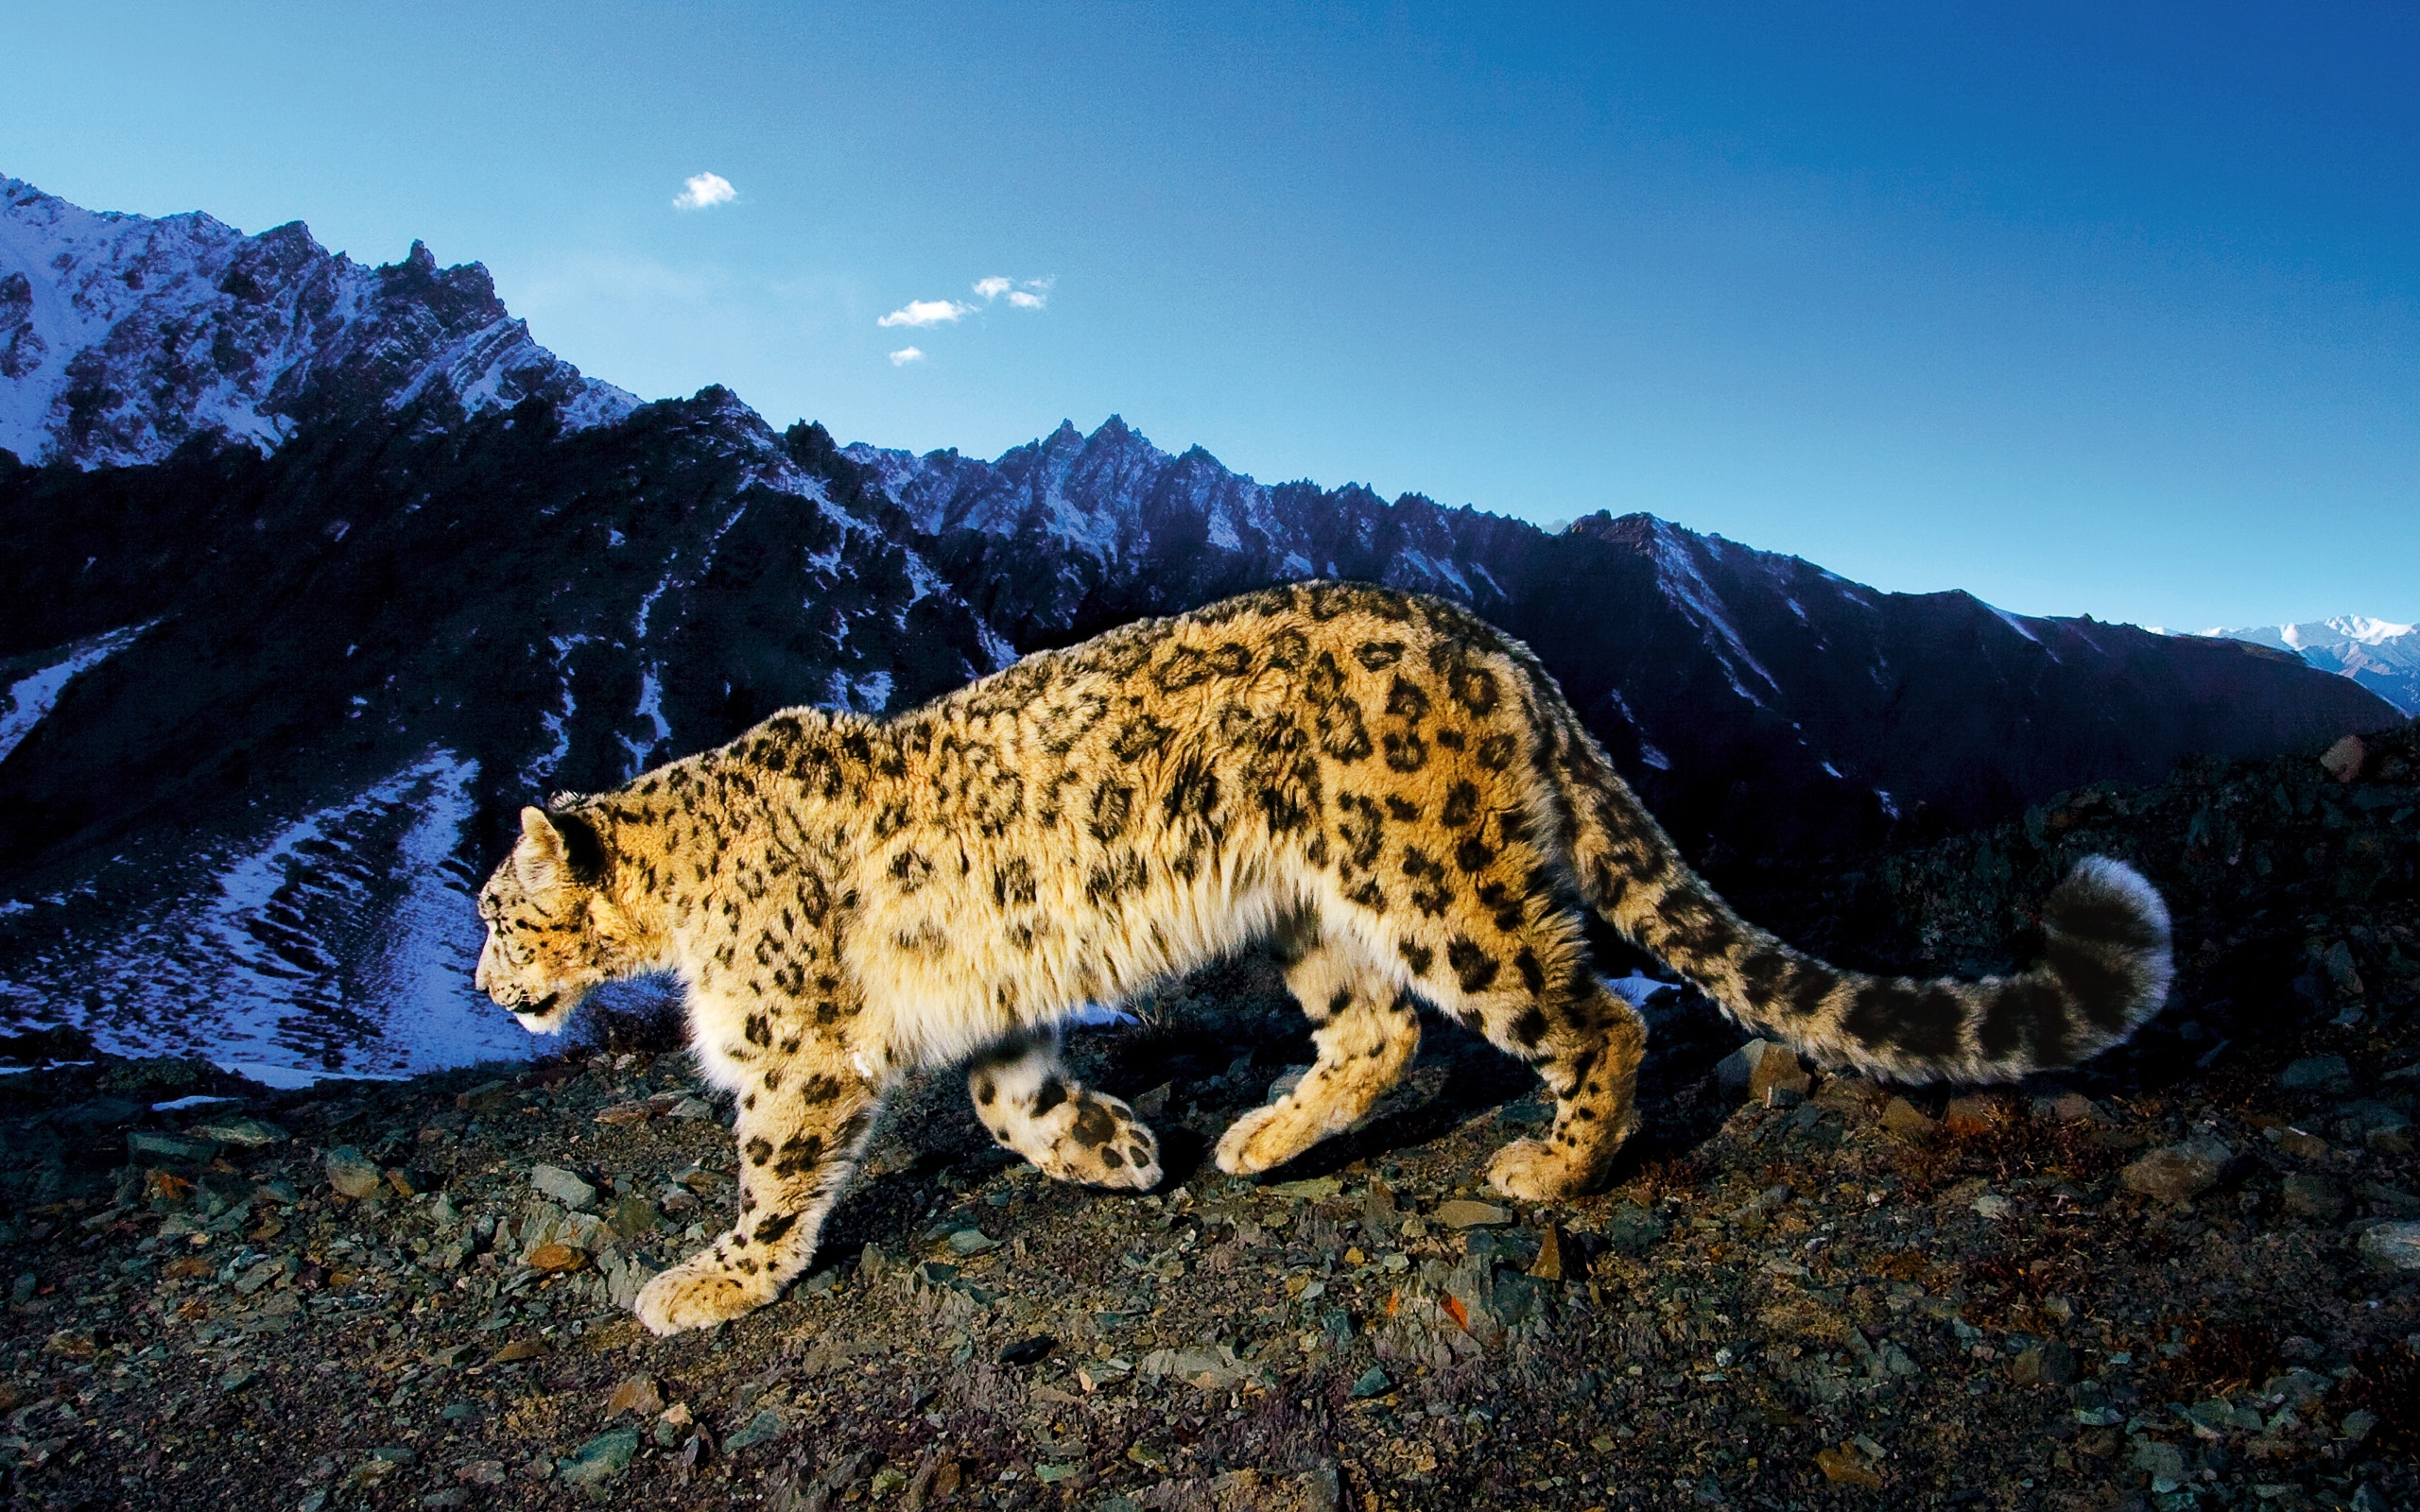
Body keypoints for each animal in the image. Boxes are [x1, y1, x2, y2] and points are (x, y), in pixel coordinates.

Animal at [473, 580, 2173, 1336]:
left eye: (494, 910)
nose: (486, 986)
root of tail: (1496, 641)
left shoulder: (794, 1048)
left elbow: (776, 1170)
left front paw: (707, 1281)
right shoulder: (990, 1011)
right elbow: (1013, 1101)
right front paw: (1115, 1151)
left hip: (1437, 879)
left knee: (1588, 1016)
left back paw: (1547, 1169)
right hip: (1314, 912)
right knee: (1381, 1034)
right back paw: (1256, 1139)